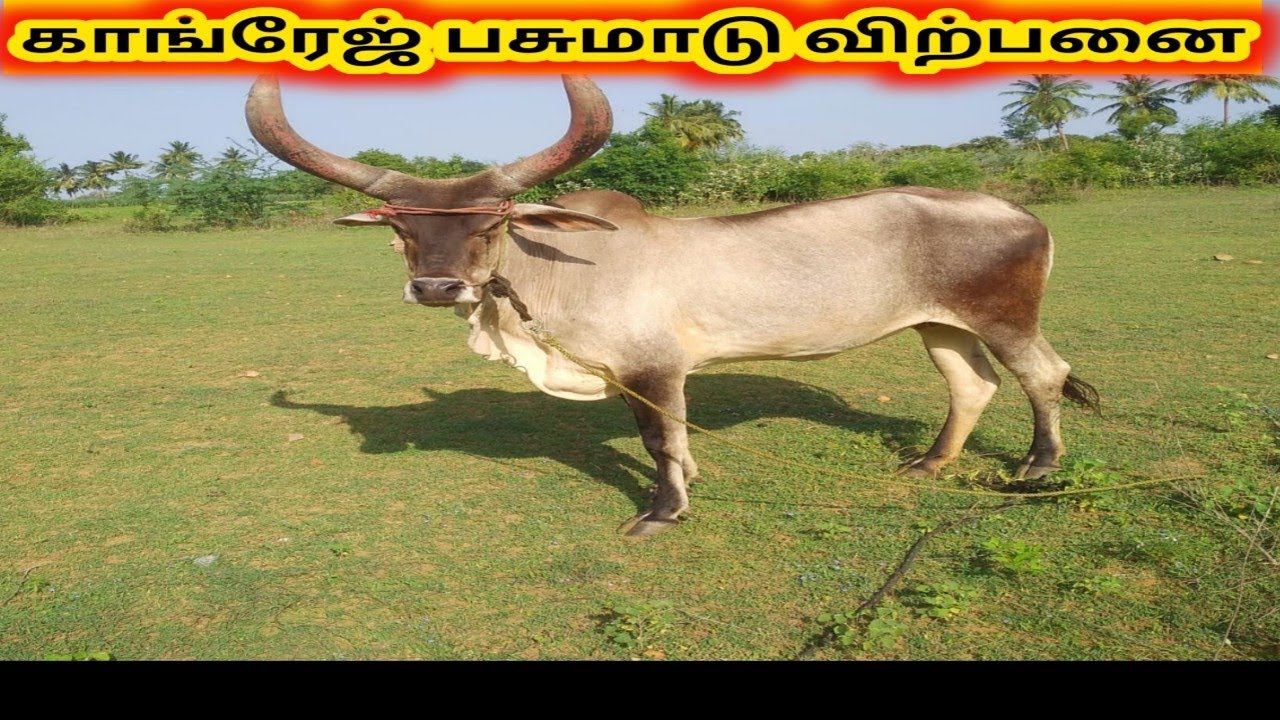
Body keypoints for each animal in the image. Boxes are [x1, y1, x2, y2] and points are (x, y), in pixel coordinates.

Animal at [246, 74, 1098, 536]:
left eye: (493, 223)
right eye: (400, 229)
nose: (436, 288)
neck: (559, 277)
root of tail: (1018, 210)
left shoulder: (653, 368)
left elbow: (659, 442)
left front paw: (664, 509)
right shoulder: (627, 373)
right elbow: (671, 439)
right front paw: (689, 481)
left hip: (1005, 317)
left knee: (1043, 376)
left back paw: (1037, 466)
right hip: (935, 323)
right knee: (971, 385)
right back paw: (931, 461)